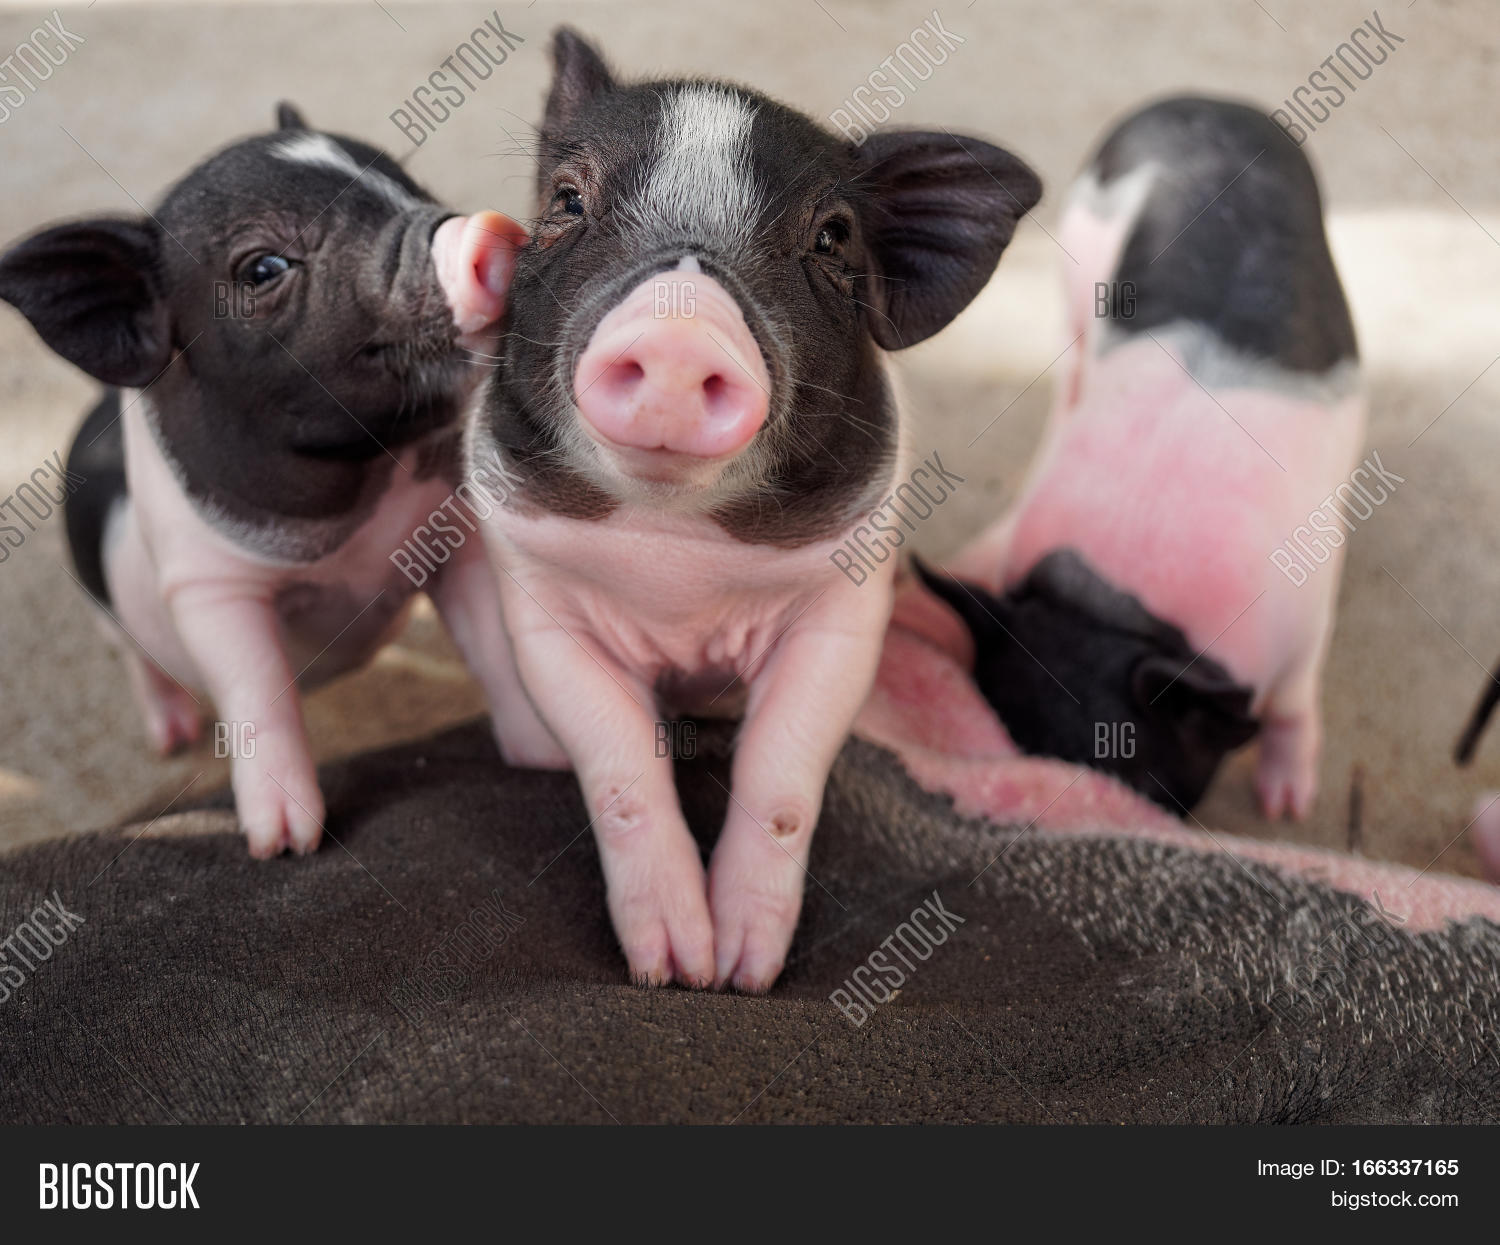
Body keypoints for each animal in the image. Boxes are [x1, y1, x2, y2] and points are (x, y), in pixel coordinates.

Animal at [0, 103, 529, 858]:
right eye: (263, 268)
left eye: (409, 186)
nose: (485, 227)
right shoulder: (209, 585)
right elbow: (258, 690)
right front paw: (285, 843)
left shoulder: (451, 536)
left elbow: (492, 648)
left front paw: (542, 757)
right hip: (103, 605)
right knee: (140, 664)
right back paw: (171, 739)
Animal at [464, 28, 1041, 989]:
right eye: (567, 198)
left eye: (831, 236)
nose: (678, 329)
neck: (679, 568)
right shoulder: (541, 602)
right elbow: (620, 775)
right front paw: (671, 970)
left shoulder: (843, 609)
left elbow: (782, 778)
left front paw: (742, 974)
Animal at [937, 95, 1365, 820]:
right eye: (1007, 739)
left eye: (1137, 781)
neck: (1116, 606)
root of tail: (1198, 102)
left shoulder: (1311, 609)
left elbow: (1292, 706)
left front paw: (1287, 807)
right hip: (1077, 268)